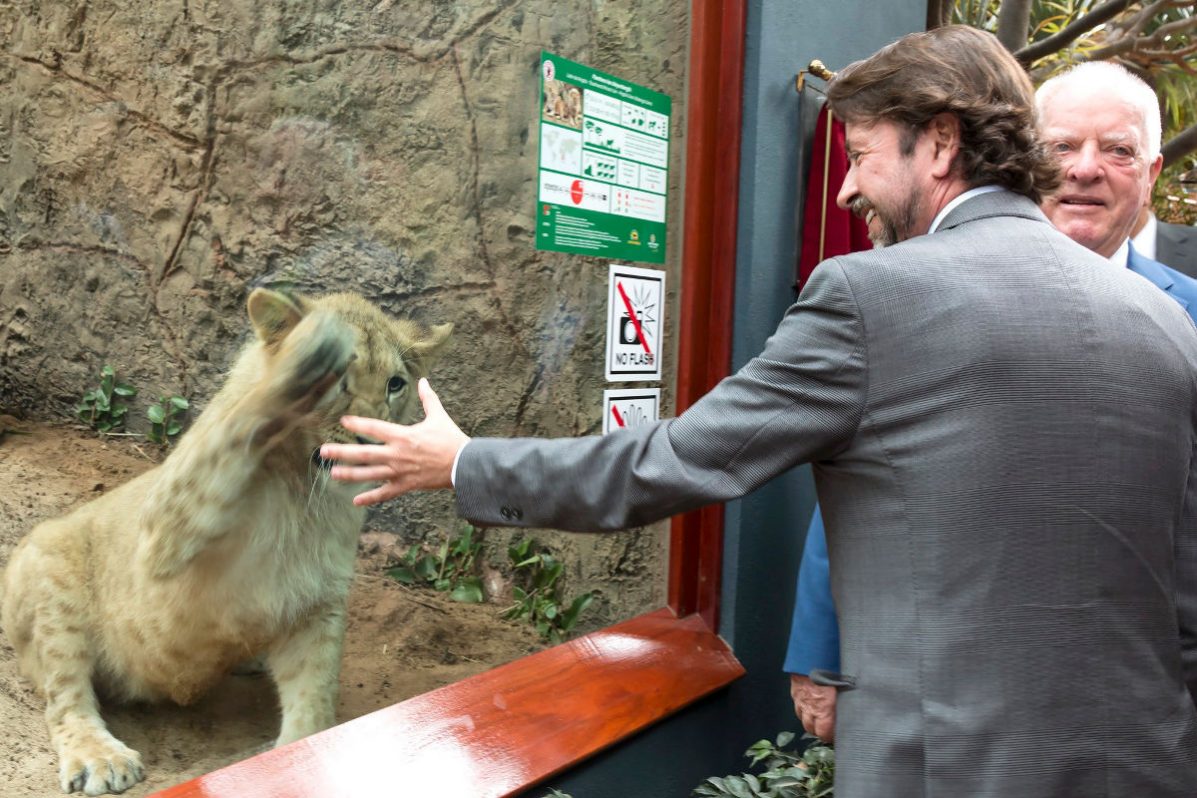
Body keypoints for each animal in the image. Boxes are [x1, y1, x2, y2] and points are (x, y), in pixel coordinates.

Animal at [1, 288, 451, 795]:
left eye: (395, 384)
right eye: (338, 380)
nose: (372, 440)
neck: (306, 493)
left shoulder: (317, 600)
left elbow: (314, 691)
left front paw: (296, 758)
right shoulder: (161, 535)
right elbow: (232, 435)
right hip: (50, 569)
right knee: (64, 696)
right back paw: (101, 758)